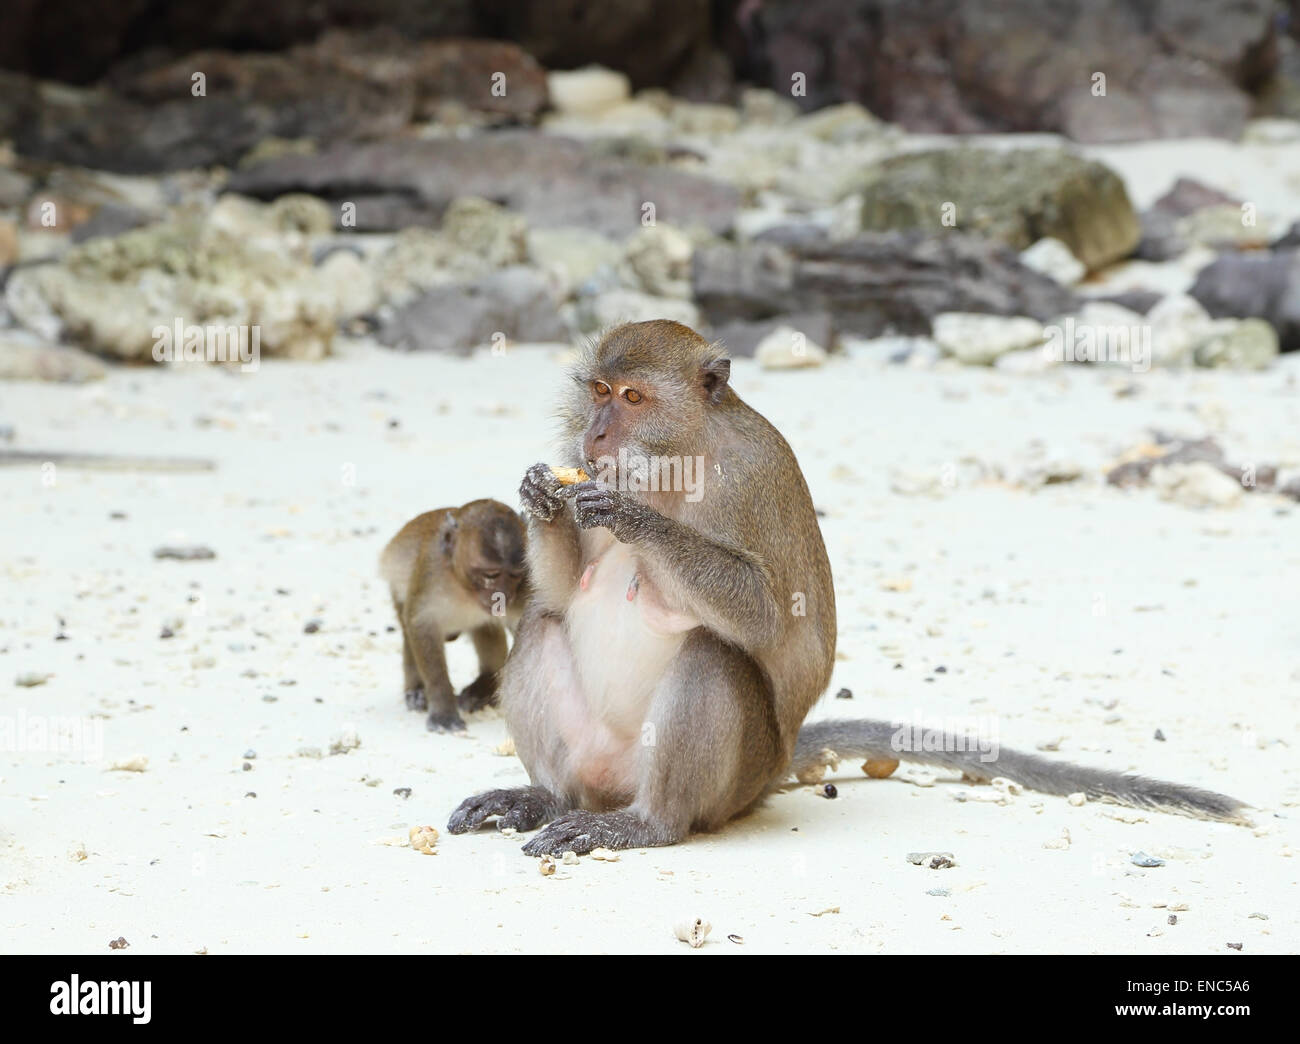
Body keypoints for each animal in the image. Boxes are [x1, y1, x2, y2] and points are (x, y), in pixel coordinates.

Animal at [379, 499, 527, 733]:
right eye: (491, 575)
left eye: (514, 575)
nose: (503, 595)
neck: (464, 587)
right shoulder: (430, 571)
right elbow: (421, 624)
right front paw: (443, 710)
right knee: (407, 628)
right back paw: (417, 690)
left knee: (486, 628)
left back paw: (483, 686)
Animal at [447, 320, 1247, 855]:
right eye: (599, 392)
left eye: (636, 397)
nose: (597, 439)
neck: (679, 456)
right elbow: (560, 593)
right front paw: (543, 497)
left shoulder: (752, 480)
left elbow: (765, 617)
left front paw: (628, 515)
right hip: (602, 760)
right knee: (543, 628)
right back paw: (546, 797)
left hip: (734, 780)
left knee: (714, 657)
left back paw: (648, 824)